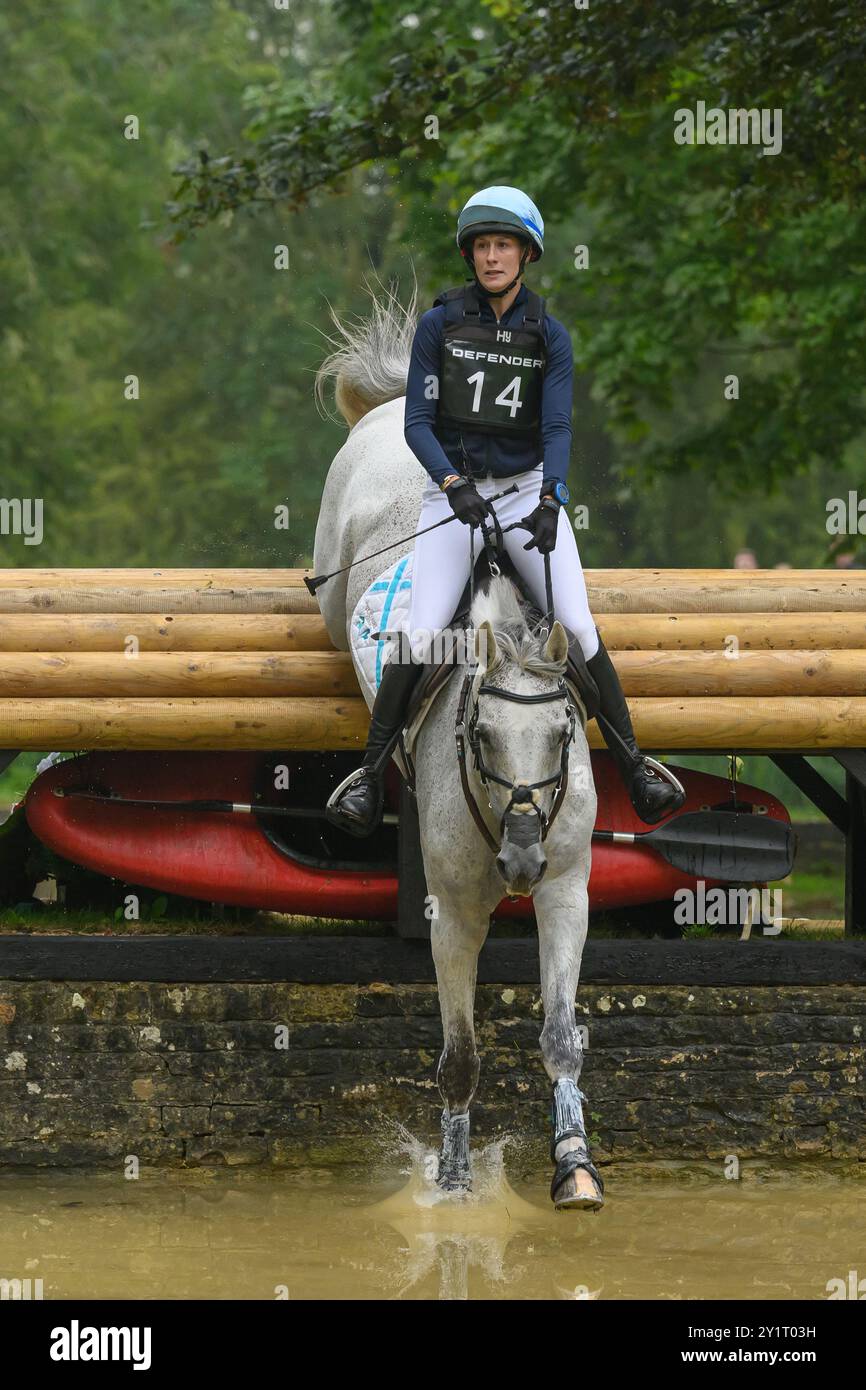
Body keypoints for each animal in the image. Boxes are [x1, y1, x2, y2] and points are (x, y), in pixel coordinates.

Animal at [313, 279, 605, 1211]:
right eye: (479, 736)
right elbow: (460, 1059)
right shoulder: (454, 913)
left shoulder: (568, 892)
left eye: (562, 732)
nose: (520, 860)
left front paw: (574, 1165)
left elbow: (559, 1034)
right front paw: (450, 1184)